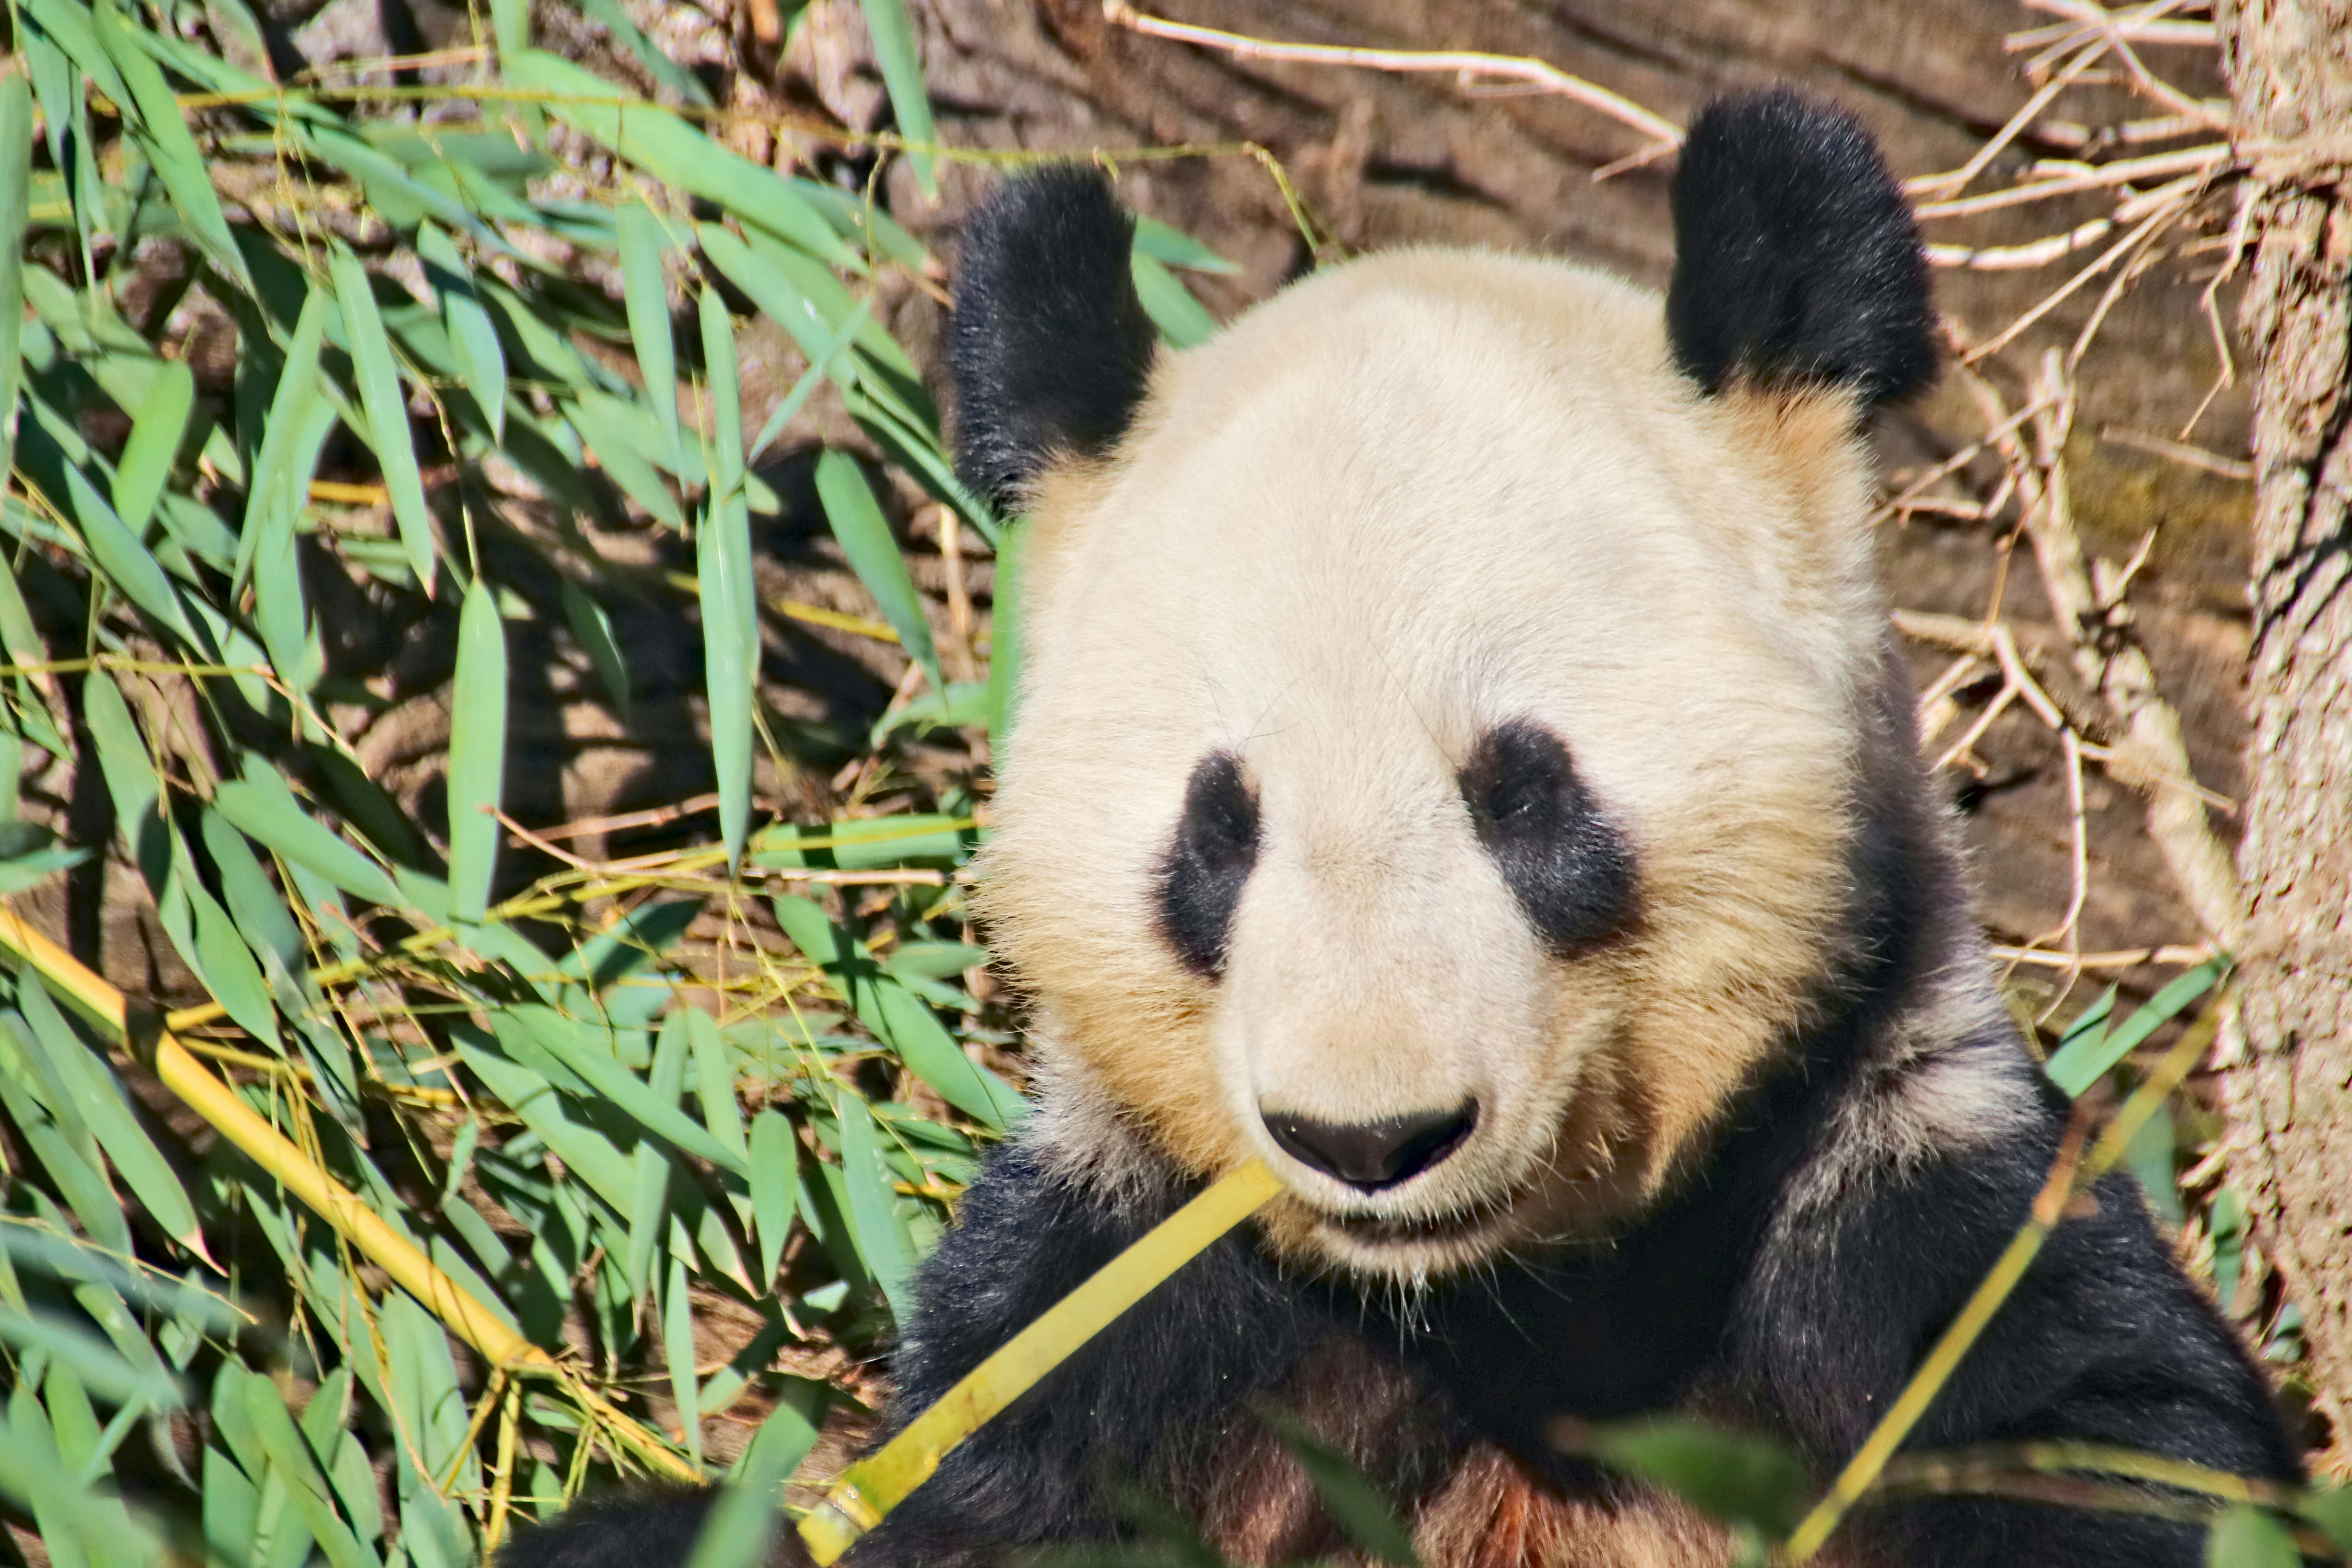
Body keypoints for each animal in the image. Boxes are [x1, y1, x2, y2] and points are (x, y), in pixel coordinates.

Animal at [500, 91, 2295, 1568]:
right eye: (1216, 833)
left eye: (1525, 794)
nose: (1369, 1139)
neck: (1497, 1301)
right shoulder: (1137, 1306)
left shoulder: (1888, 1201)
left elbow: (2104, 1454)